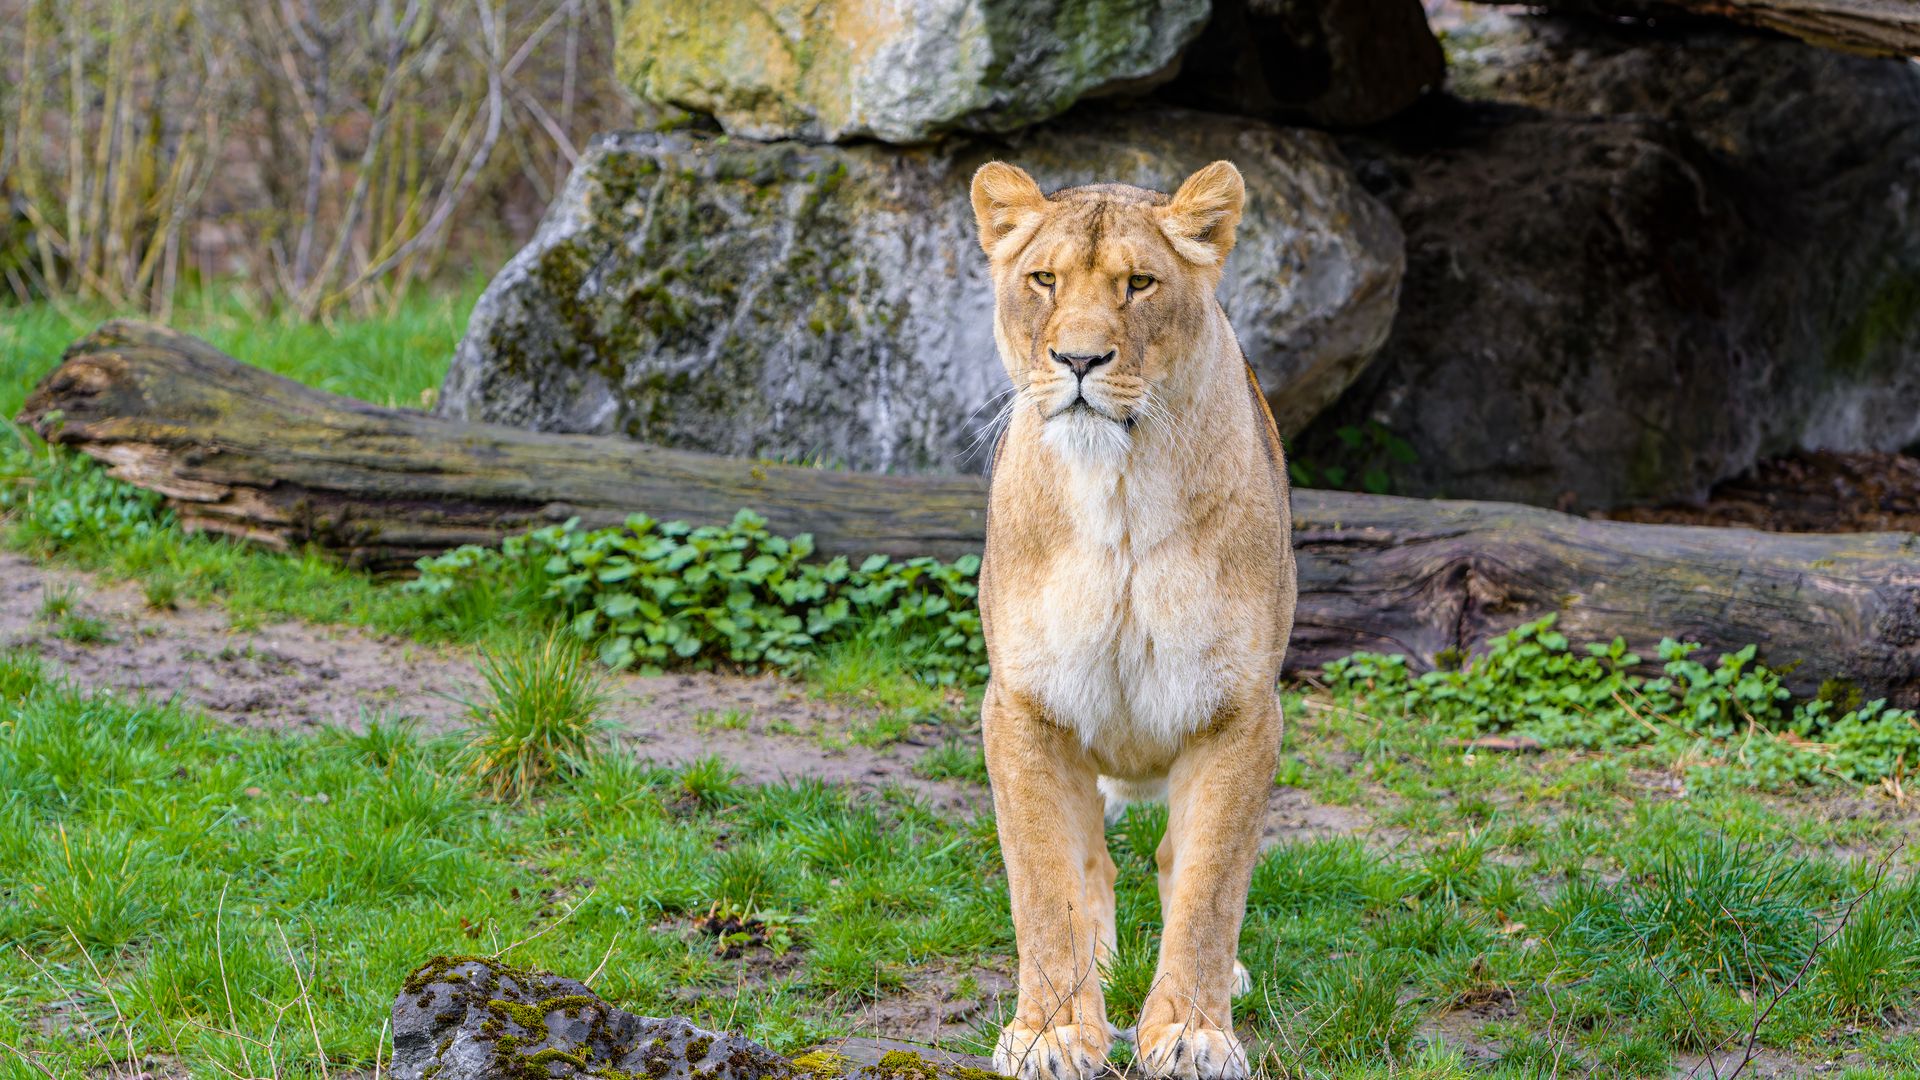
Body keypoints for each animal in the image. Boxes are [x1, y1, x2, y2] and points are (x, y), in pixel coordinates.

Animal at [968, 160, 1297, 1080]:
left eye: (1139, 284)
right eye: (1044, 280)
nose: (1079, 358)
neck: (1115, 490)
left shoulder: (1238, 712)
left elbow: (1209, 885)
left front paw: (1193, 1033)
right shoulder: (1025, 708)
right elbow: (1047, 885)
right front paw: (1050, 1034)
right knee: (1096, 870)